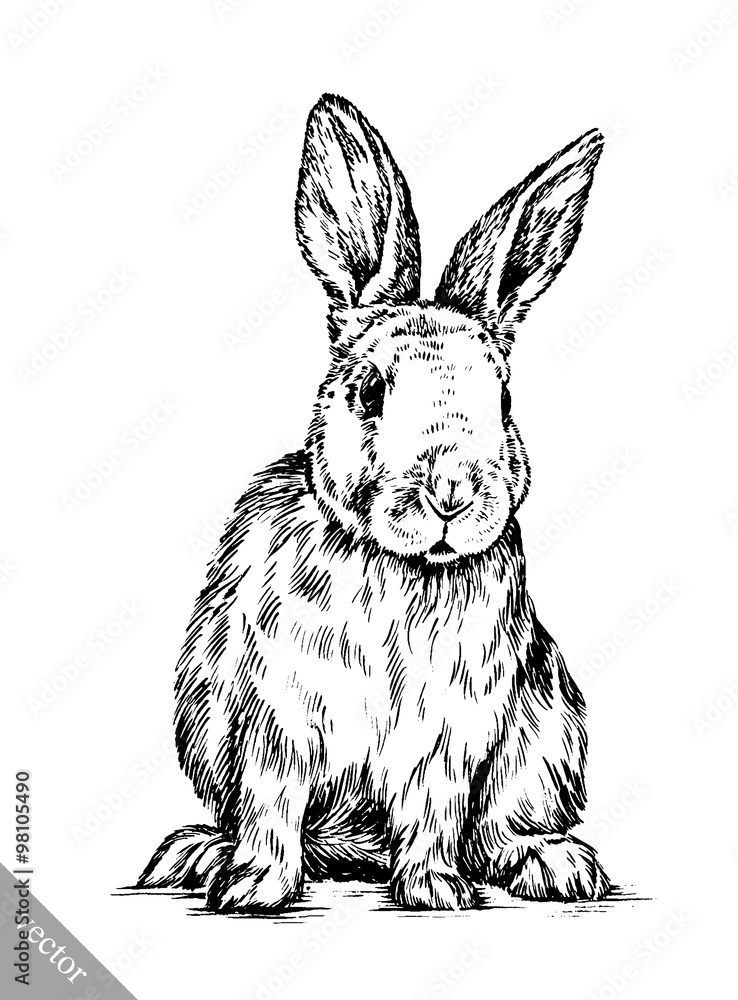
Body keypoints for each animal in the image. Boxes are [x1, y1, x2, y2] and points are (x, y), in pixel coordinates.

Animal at [137, 93, 610, 912]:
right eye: (369, 391)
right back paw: (197, 857)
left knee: (498, 832)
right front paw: (253, 890)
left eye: (502, 400)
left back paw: (554, 866)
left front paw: (434, 891)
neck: (401, 568)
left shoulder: (454, 733)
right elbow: (271, 803)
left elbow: (437, 811)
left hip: (543, 742)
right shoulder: (275, 720)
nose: (451, 489)